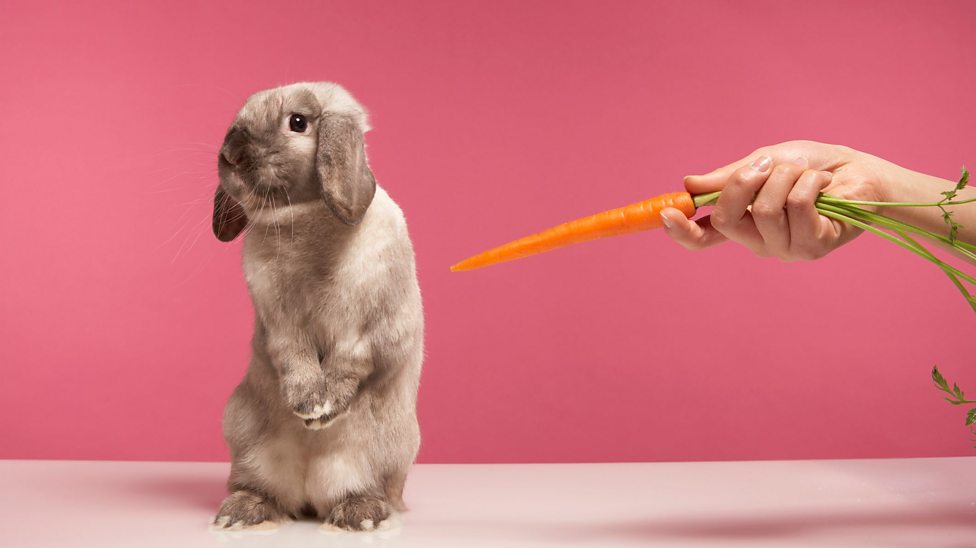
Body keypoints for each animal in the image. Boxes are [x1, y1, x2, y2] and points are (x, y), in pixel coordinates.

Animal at [210, 82, 424, 532]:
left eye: (298, 122)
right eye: (236, 121)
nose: (231, 154)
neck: (304, 220)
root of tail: (309, 497)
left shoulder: (373, 328)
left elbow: (351, 362)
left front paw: (322, 410)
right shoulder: (279, 325)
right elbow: (294, 356)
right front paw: (307, 403)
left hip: (378, 455)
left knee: (360, 490)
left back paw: (361, 515)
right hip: (246, 441)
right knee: (262, 489)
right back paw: (242, 512)